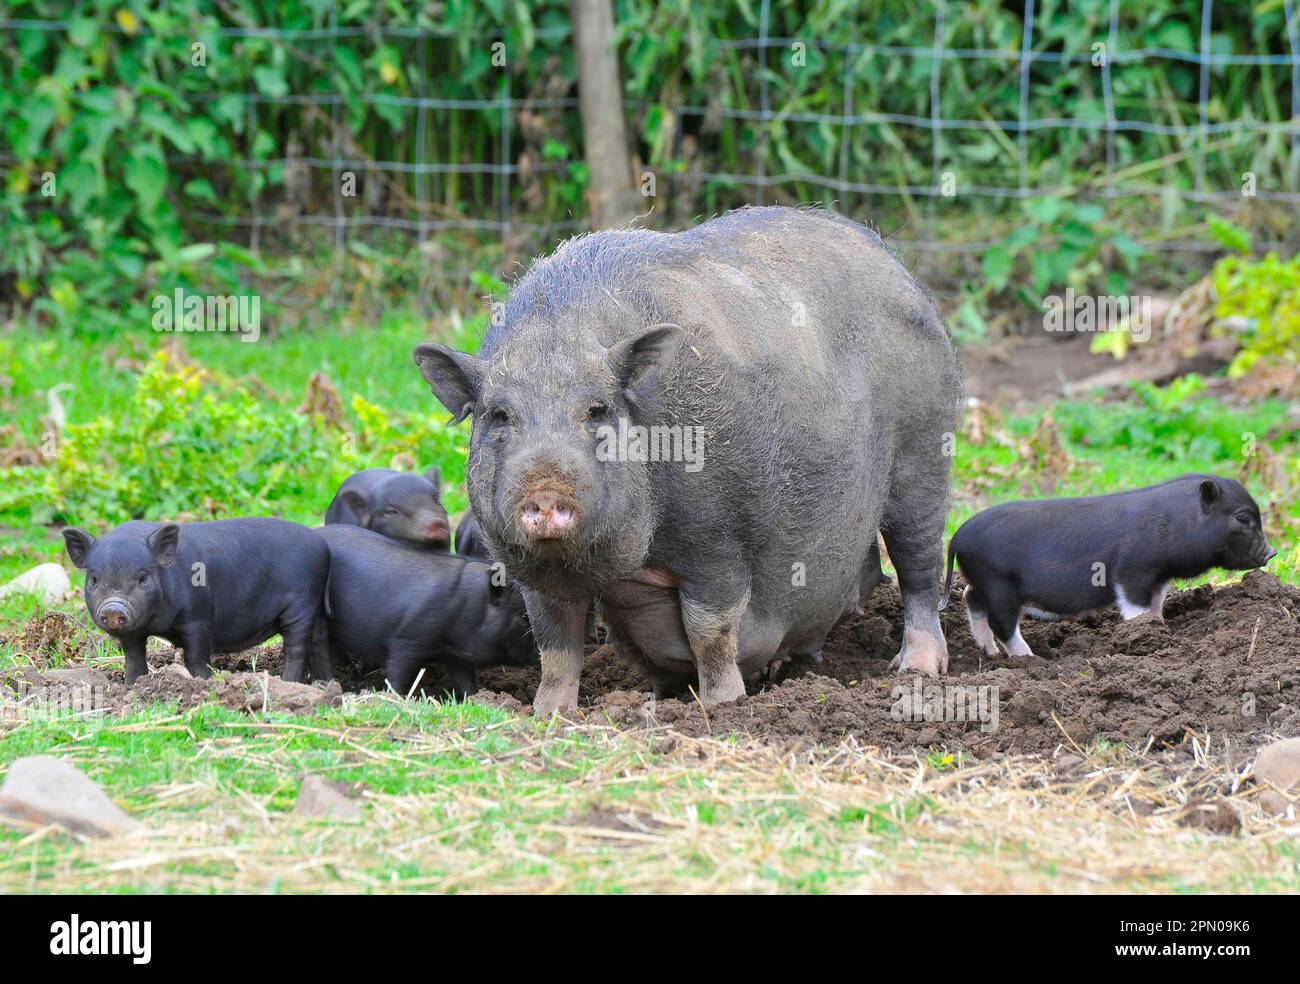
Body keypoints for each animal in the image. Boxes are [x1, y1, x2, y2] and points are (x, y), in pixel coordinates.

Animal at [61, 519, 331, 685]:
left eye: (142, 577)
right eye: (94, 579)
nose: (113, 607)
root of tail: (322, 546)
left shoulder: (198, 617)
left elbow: (196, 656)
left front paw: (204, 682)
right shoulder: (133, 631)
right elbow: (134, 657)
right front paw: (131, 685)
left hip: (302, 605)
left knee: (297, 648)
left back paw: (289, 683)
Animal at [316, 524, 535, 697]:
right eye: (524, 617)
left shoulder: (456, 656)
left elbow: (466, 680)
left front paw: (476, 698)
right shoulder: (407, 639)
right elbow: (398, 672)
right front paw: (395, 696)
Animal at [412, 205, 961, 714]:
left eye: (597, 410)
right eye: (500, 416)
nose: (546, 491)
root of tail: (897, 267)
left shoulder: (717, 536)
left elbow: (710, 631)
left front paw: (722, 706)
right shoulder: (530, 569)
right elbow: (556, 643)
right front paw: (550, 714)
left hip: (924, 451)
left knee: (918, 562)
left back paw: (915, 670)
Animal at [939, 474, 1277, 658]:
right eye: (1242, 519)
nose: (1272, 553)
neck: (1176, 522)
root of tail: (958, 536)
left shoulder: (1158, 576)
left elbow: (1157, 603)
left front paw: (1159, 626)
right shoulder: (1133, 570)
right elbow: (1135, 606)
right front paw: (1141, 631)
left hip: (983, 581)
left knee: (970, 598)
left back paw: (990, 652)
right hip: (998, 583)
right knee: (1002, 621)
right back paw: (1028, 658)